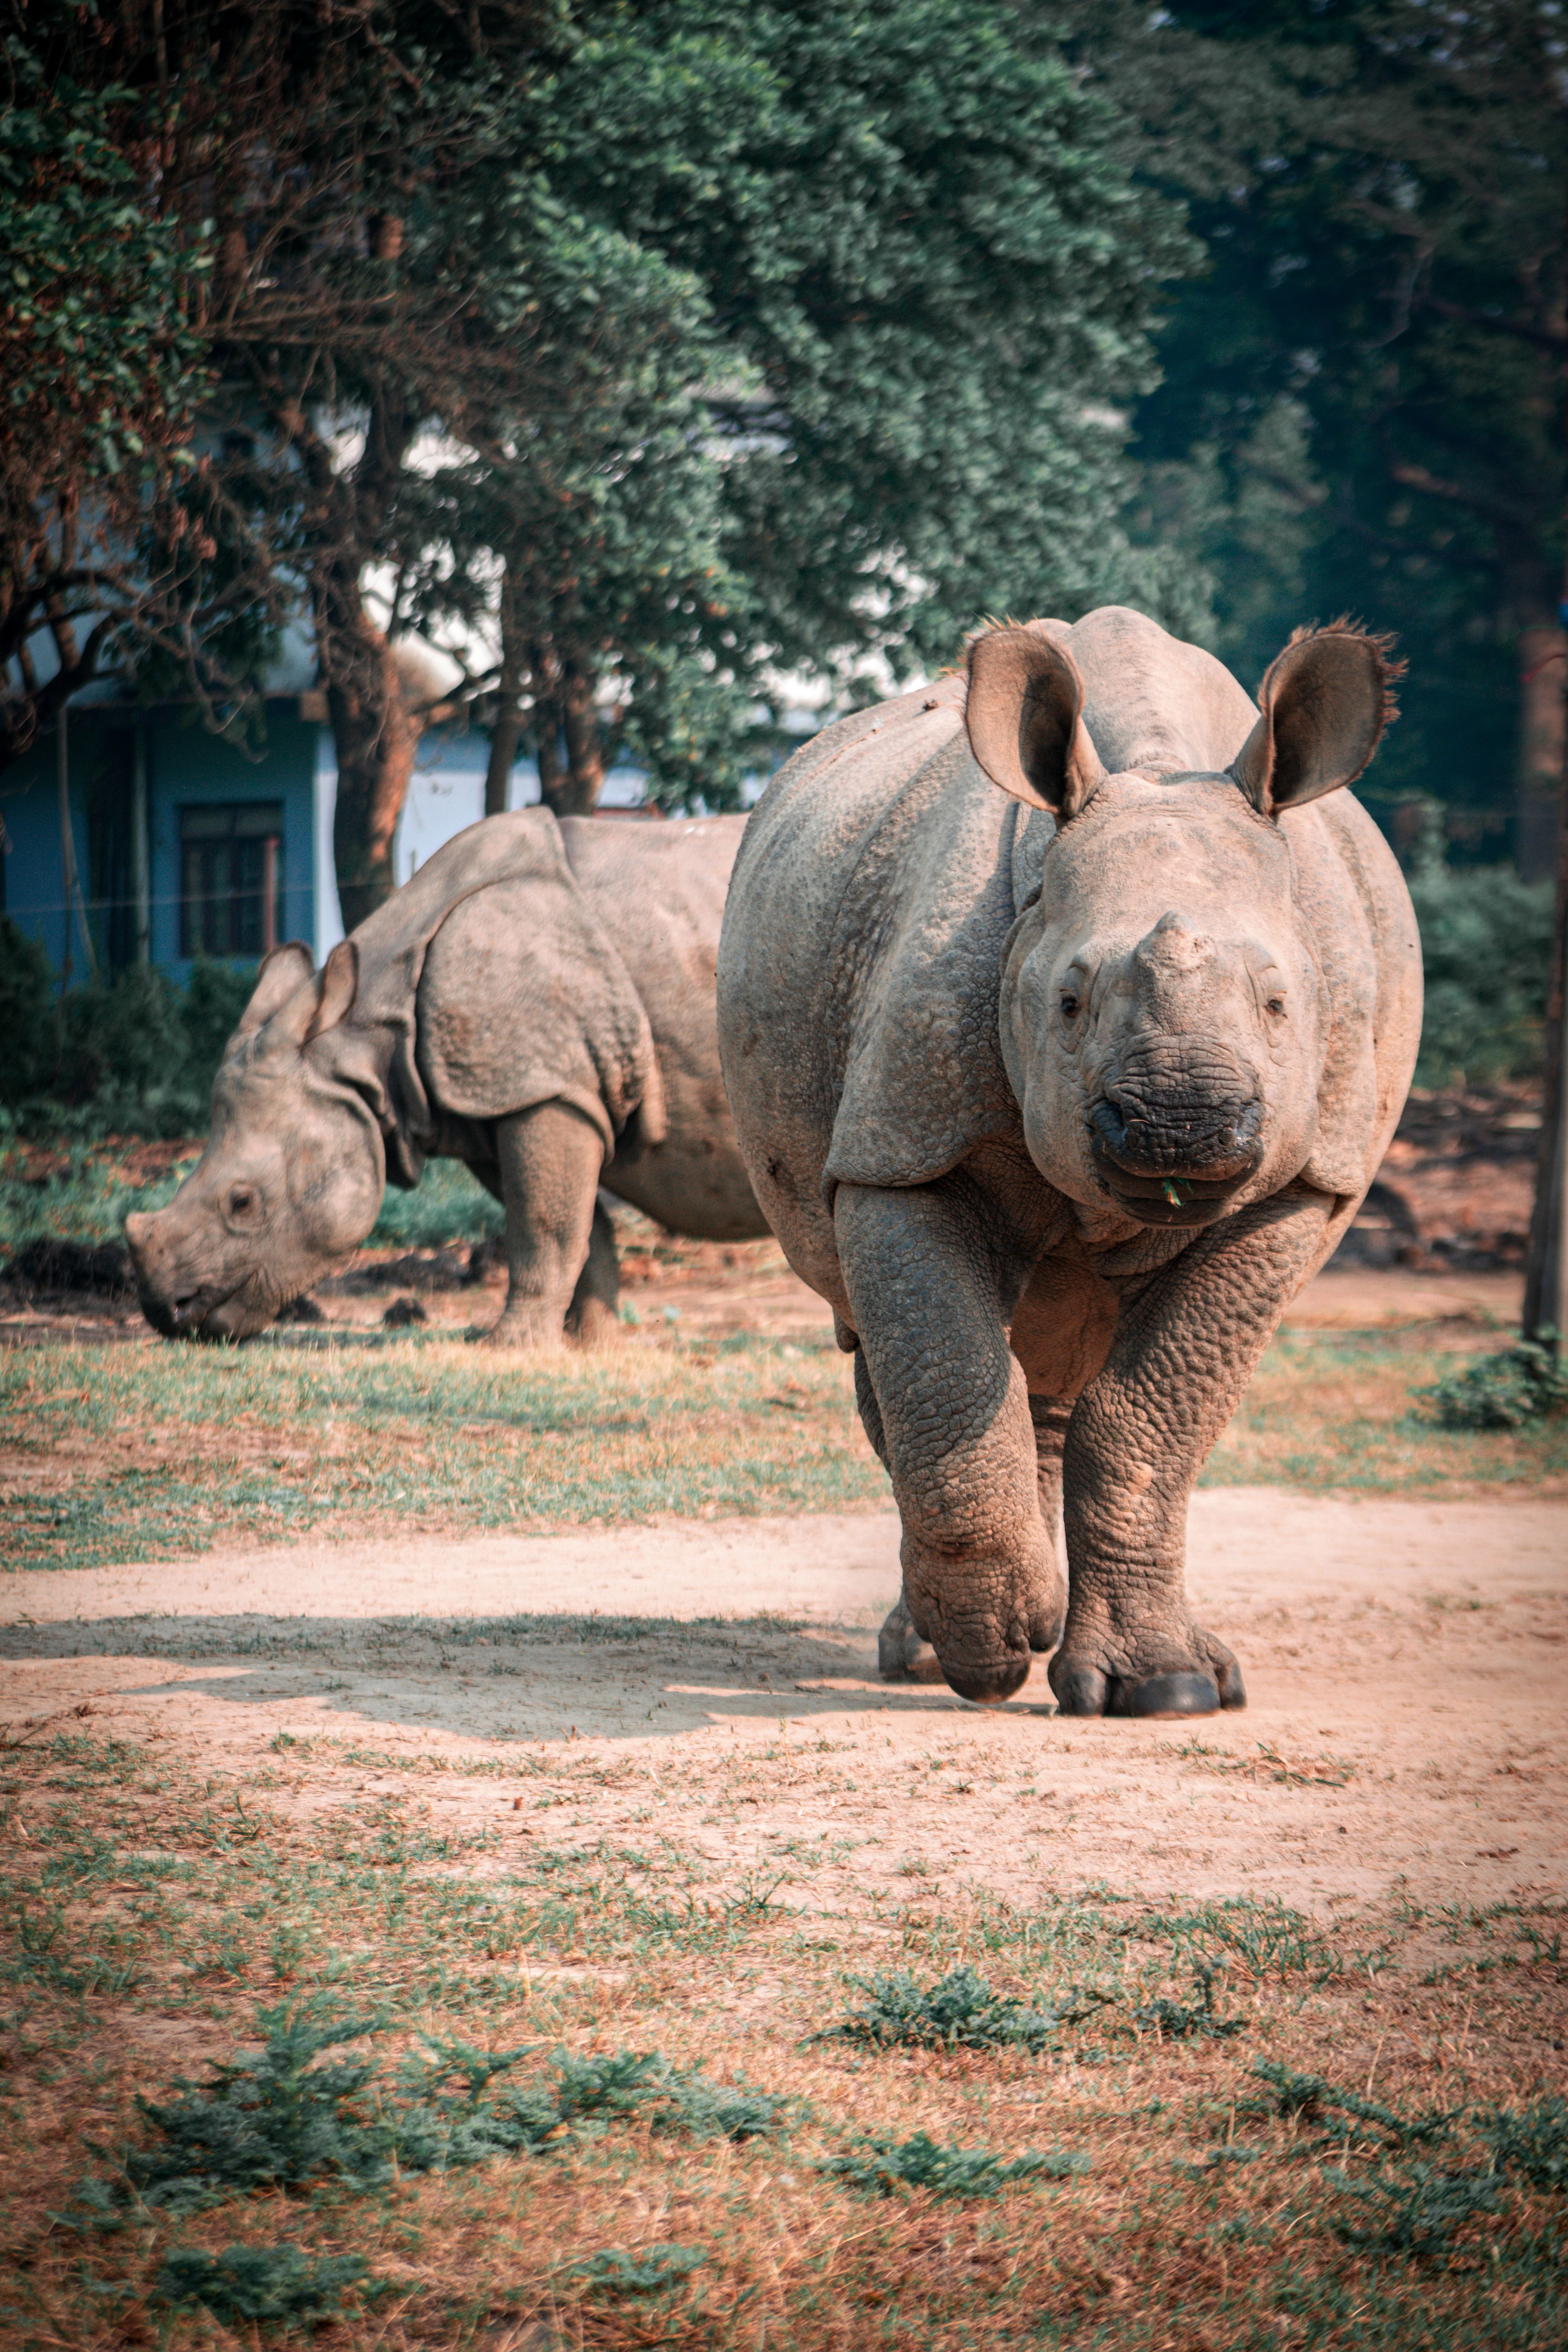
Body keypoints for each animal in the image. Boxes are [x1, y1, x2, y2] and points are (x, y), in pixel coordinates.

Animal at [127, 808, 768, 1343]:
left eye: (243, 1203)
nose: (169, 1316)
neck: (360, 1046)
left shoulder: (543, 1090)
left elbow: (543, 1229)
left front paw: (508, 1349)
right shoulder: (498, 1099)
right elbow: (580, 1229)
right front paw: (592, 1347)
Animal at [717, 607, 1421, 1718]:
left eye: (1278, 1003)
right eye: (1067, 1000)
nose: (1180, 1123)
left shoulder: (1306, 1182)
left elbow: (1150, 1423)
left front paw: (1166, 1689)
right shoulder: (901, 1147)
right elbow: (946, 1376)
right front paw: (993, 1648)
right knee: (898, 1353)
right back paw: (935, 1651)